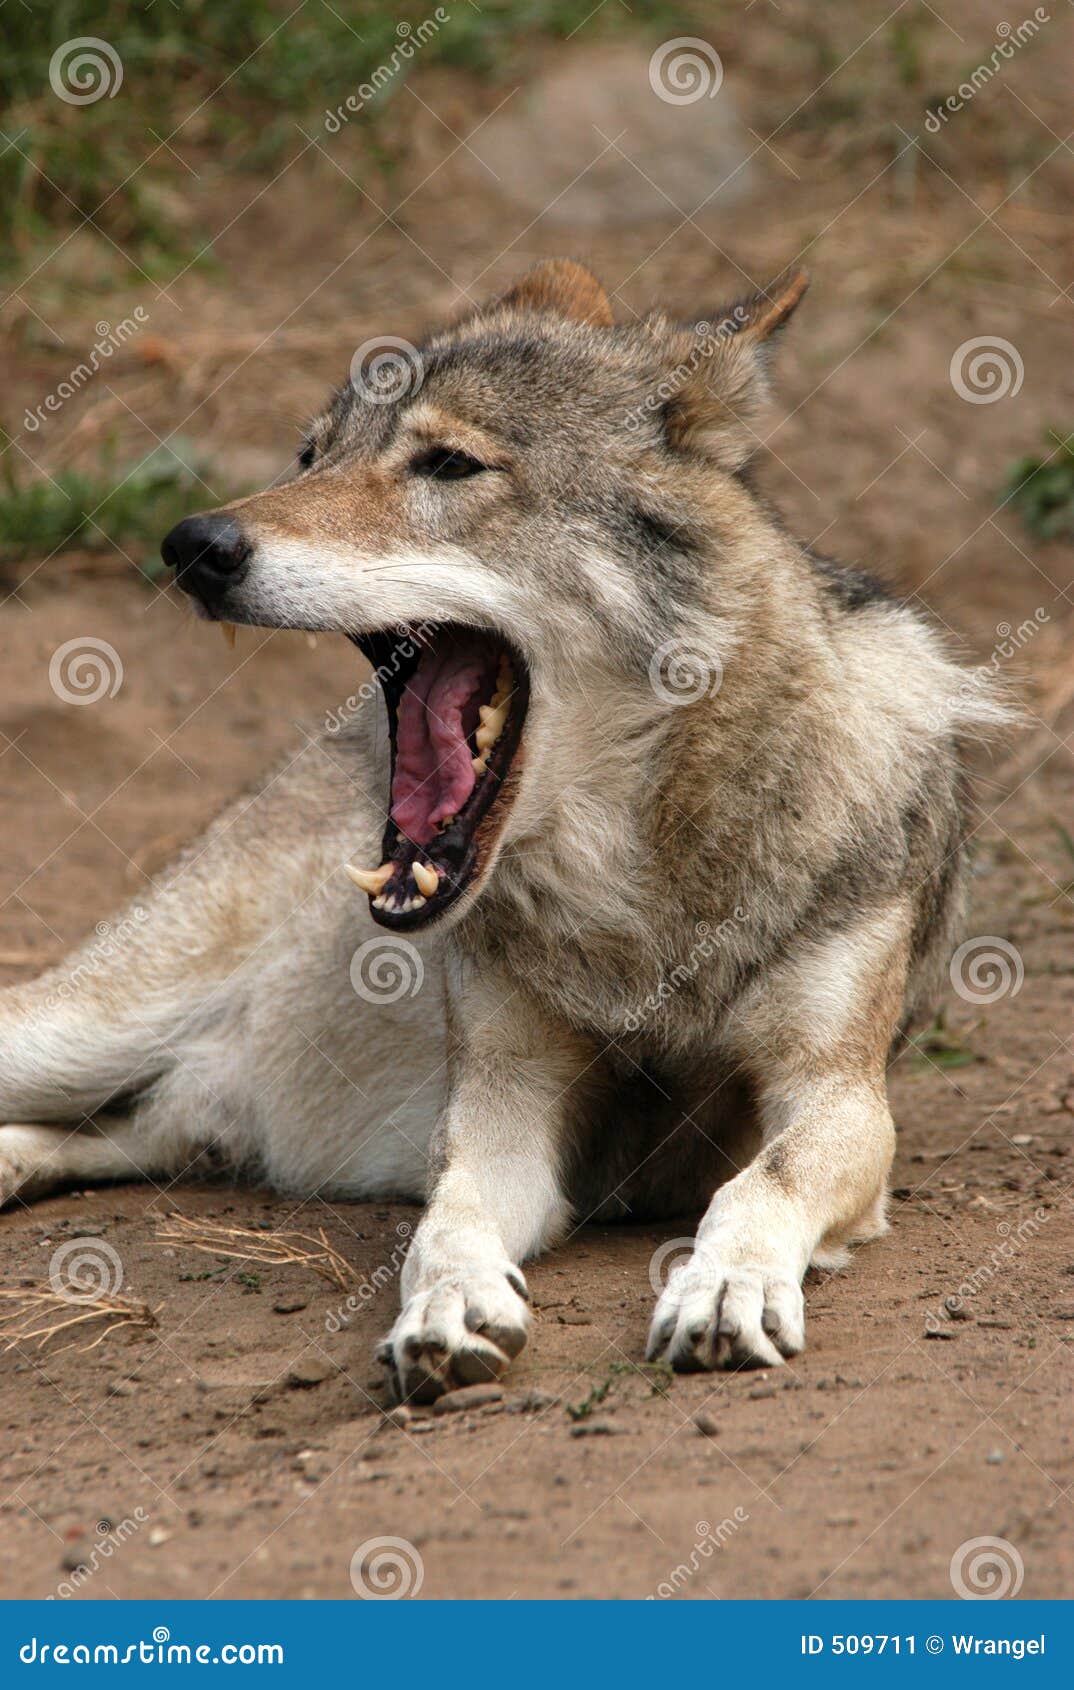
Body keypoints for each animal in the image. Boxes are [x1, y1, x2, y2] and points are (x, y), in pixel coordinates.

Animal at [0, 260, 1004, 1400]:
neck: (634, 893)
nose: (194, 545)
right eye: (312, 457)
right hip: (80, 1033)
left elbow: (758, 1183)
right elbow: (450, 1218)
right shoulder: (502, 1103)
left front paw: (725, 1288)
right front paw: (446, 1308)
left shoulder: (837, 1092)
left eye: (448, 464)